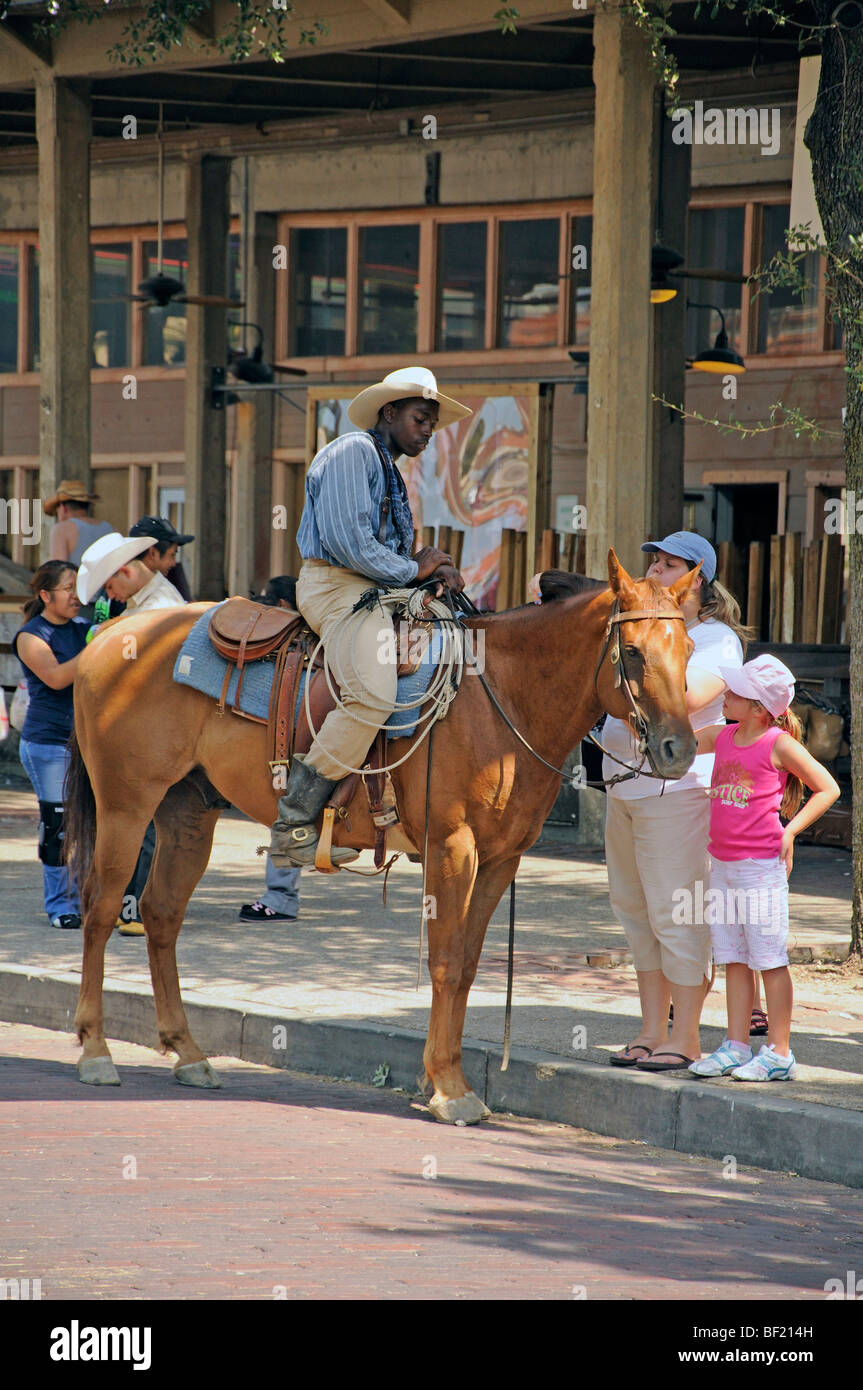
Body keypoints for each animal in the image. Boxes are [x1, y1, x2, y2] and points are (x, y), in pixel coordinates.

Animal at [64, 550, 699, 1125]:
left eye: (689, 650)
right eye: (633, 652)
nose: (678, 749)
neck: (501, 698)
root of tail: (114, 632)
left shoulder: (501, 860)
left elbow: (469, 964)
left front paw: (439, 1077)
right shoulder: (453, 849)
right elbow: (445, 962)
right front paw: (449, 1088)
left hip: (188, 816)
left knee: (161, 915)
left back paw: (188, 1053)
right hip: (126, 807)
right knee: (101, 908)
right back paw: (95, 1049)